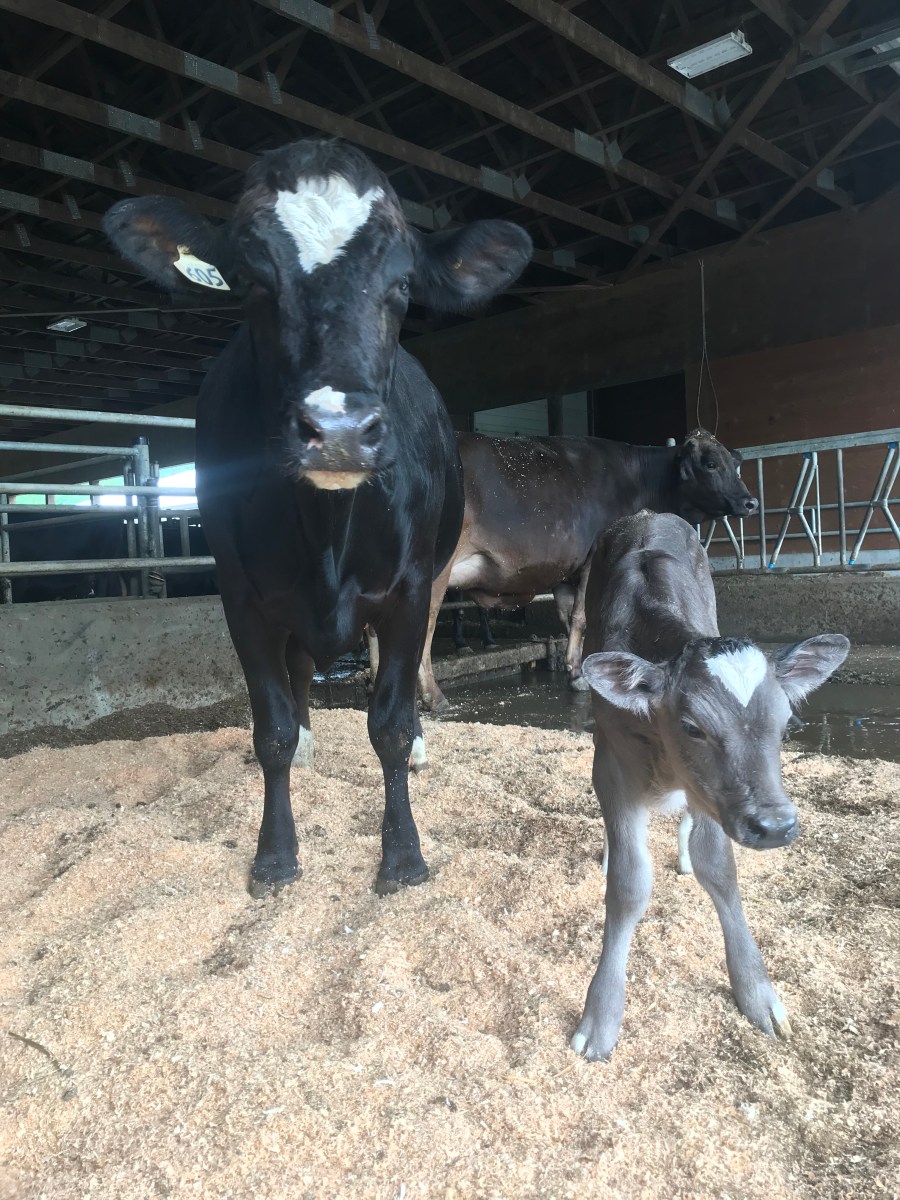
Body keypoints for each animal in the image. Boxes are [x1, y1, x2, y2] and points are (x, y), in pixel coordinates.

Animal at [104, 138, 532, 897]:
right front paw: (275, 855)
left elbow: (388, 724)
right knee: (299, 676)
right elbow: (270, 727)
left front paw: (403, 856)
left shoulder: (409, 588)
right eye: (251, 280)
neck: (326, 531)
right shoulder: (241, 594)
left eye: (403, 285)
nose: (337, 430)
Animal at [417, 429, 759, 712]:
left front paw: (573, 668)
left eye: (734, 463)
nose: (750, 502)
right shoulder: (594, 559)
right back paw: (434, 697)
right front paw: (583, 674)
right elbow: (583, 616)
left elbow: (568, 616)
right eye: (711, 463)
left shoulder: (565, 568)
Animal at [570, 510, 849, 1061]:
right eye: (692, 727)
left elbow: (718, 870)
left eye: (786, 723)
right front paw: (601, 1016)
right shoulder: (611, 768)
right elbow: (629, 885)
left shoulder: (714, 797)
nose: (775, 825)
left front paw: (756, 992)